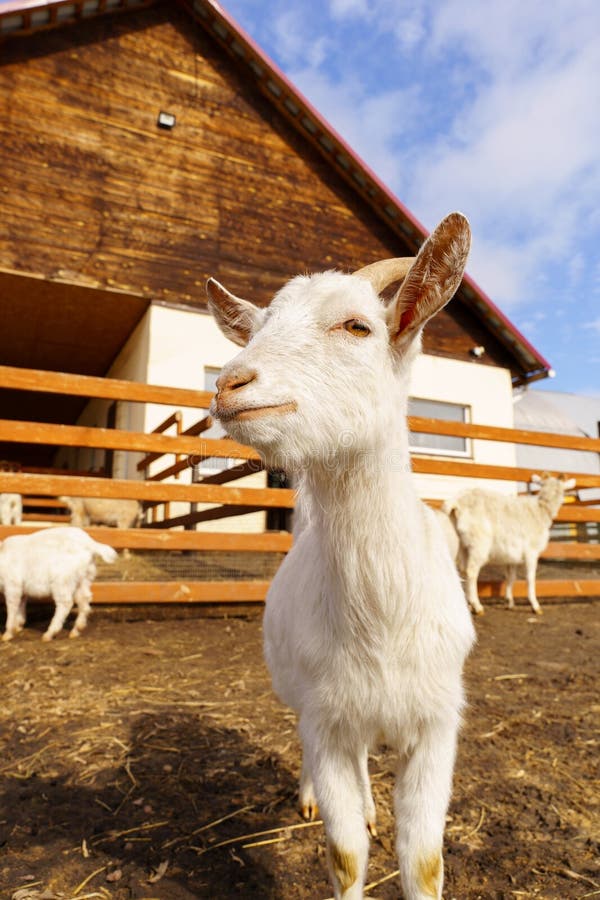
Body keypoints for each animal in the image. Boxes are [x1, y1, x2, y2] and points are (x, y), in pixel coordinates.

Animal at [206, 212, 476, 900]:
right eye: (259, 328)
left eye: (357, 326)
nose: (229, 383)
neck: (383, 615)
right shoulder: (327, 719)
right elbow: (346, 853)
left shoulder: (436, 724)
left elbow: (424, 859)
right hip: (308, 700)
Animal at [443, 473, 576, 615]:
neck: (541, 511)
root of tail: (456, 501)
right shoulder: (531, 552)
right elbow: (530, 578)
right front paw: (535, 606)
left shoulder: (512, 557)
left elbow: (511, 577)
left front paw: (510, 602)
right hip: (478, 542)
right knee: (471, 571)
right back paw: (477, 606)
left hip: (459, 543)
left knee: (460, 569)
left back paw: (467, 605)